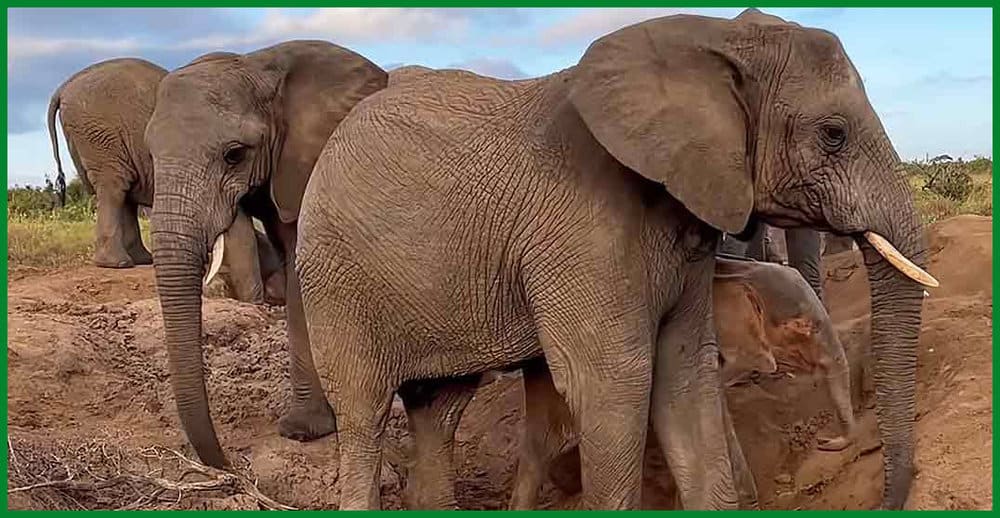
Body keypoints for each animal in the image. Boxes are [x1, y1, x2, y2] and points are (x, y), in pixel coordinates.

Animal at [47, 58, 166, 268]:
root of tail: (64, 86)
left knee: (125, 192)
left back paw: (141, 259)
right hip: (99, 133)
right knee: (114, 187)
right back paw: (119, 263)